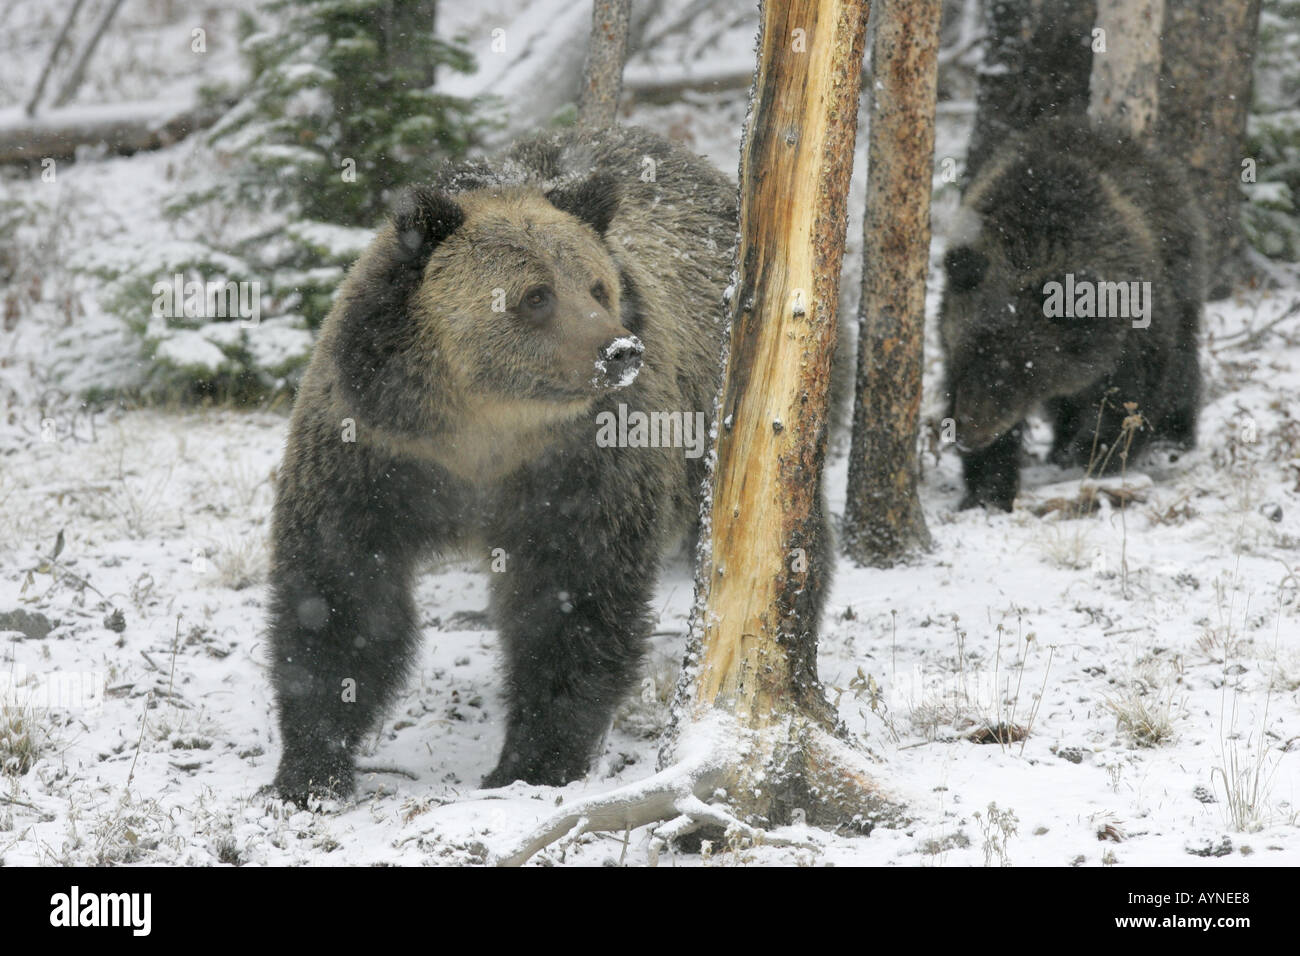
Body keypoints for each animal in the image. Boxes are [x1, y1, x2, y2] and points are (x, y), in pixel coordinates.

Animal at [266, 126, 743, 800]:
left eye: (597, 287)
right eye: (535, 295)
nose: (620, 350)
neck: (484, 429)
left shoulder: (584, 469)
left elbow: (572, 601)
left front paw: (531, 761)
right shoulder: (373, 451)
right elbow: (340, 592)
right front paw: (309, 767)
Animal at [940, 117, 1206, 511]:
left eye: (1015, 371)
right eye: (964, 358)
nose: (967, 435)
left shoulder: (1136, 328)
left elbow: (1135, 393)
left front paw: (1098, 452)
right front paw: (988, 487)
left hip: (1183, 268)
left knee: (1185, 358)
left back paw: (1174, 437)